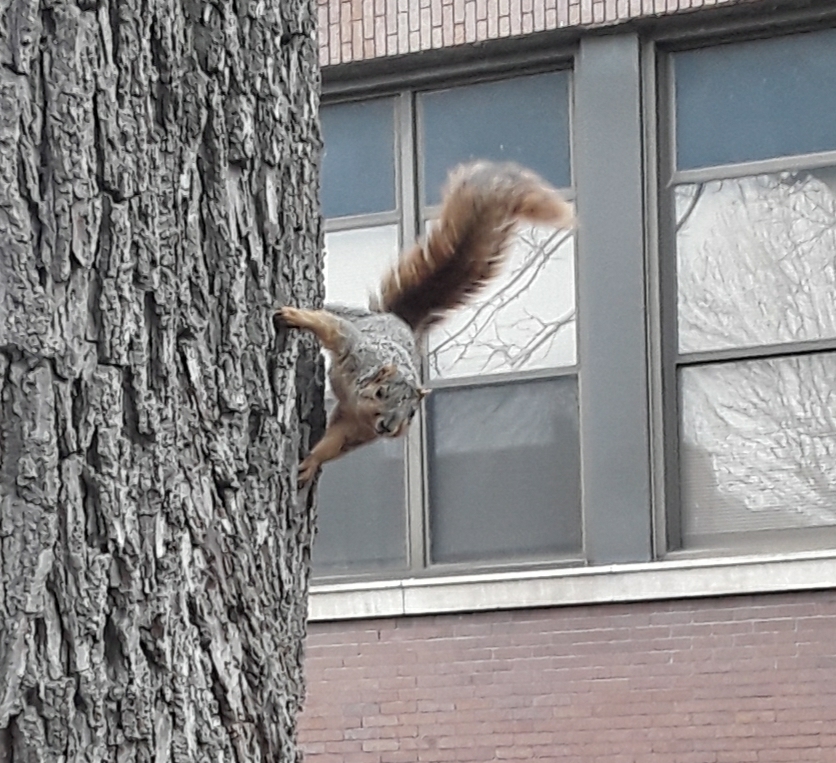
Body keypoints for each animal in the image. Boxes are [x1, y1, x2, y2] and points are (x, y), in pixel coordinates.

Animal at [278, 160, 574, 485]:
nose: (387, 427)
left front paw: (311, 462)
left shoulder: (358, 427)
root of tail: (399, 320)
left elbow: (336, 441)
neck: (359, 404)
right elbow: (330, 328)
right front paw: (295, 316)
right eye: (381, 393)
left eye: (410, 413)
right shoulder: (355, 350)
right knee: (337, 314)